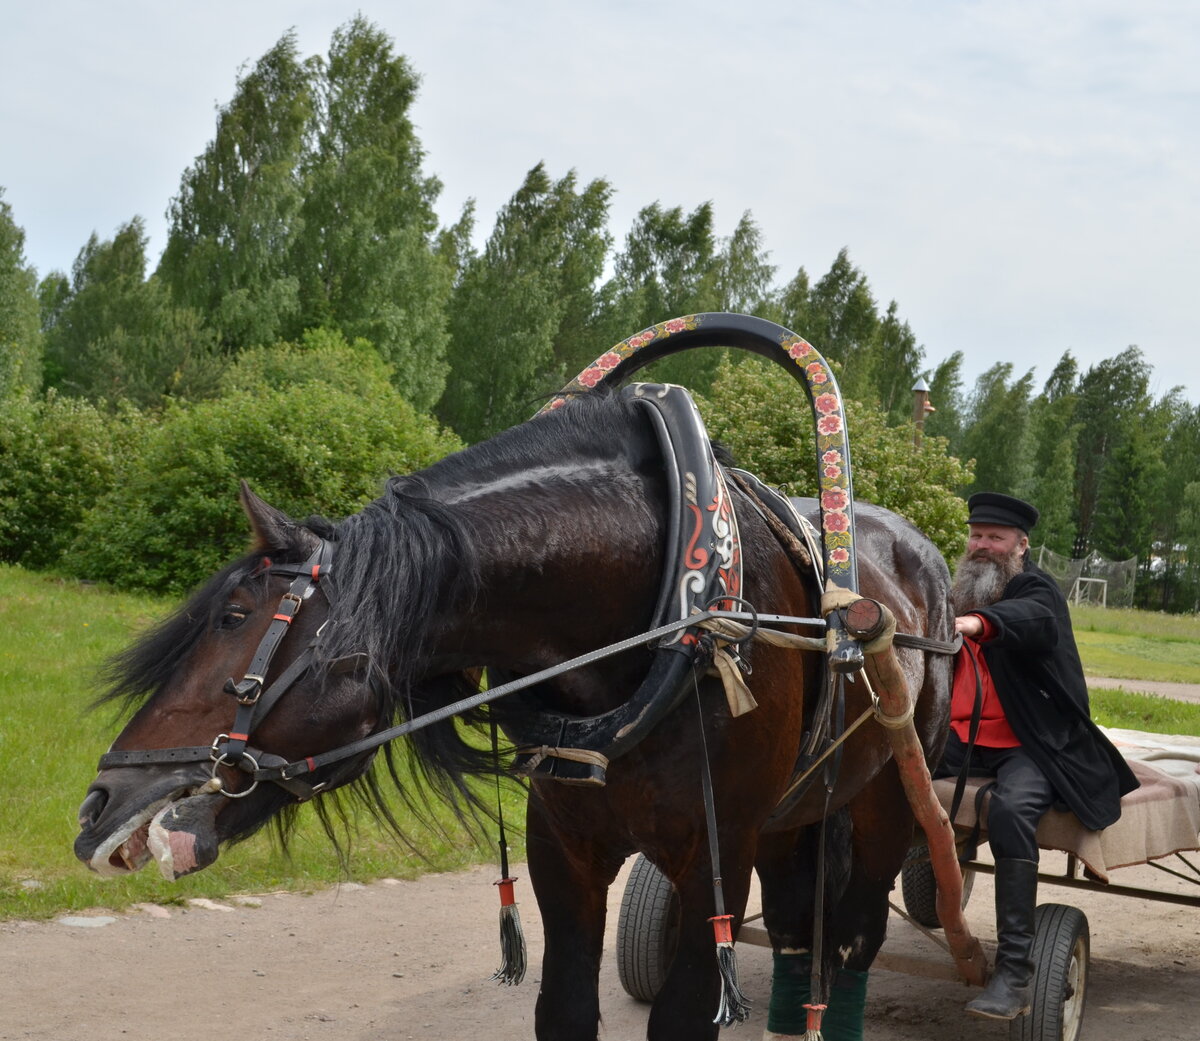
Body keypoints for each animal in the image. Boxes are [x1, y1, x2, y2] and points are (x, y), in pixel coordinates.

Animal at [75, 381, 955, 1041]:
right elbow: (562, 1010)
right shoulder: (562, 850)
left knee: (854, 933)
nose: (97, 808)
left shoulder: (718, 852)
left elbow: (683, 1015)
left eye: (234, 620)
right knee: (804, 926)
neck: (679, 605)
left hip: (886, 797)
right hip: (793, 815)